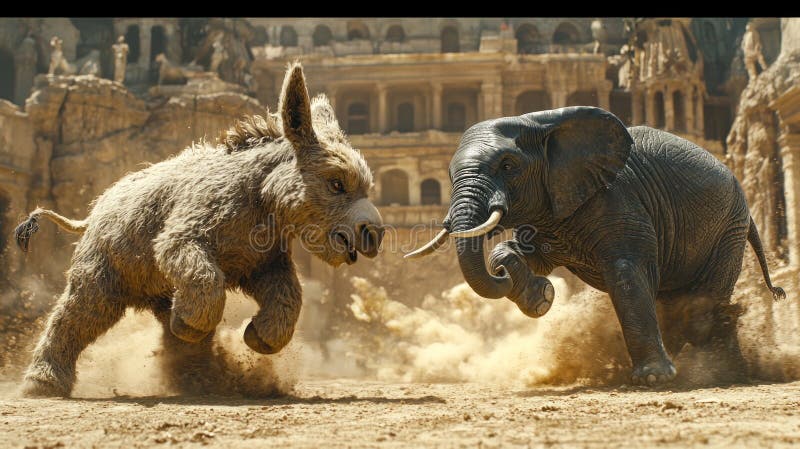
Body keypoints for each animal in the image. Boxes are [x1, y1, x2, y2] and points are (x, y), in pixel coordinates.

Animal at [407, 106, 786, 385]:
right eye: (450, 174)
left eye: (508, 165)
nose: (499, 274)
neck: (540, 122)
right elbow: (526, 253)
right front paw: (540, 297)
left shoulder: (618, 197)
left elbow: (626, 272)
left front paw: (653, 379)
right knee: (680, 302)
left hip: (729, 228)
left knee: (700, 309)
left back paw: (712, 371)